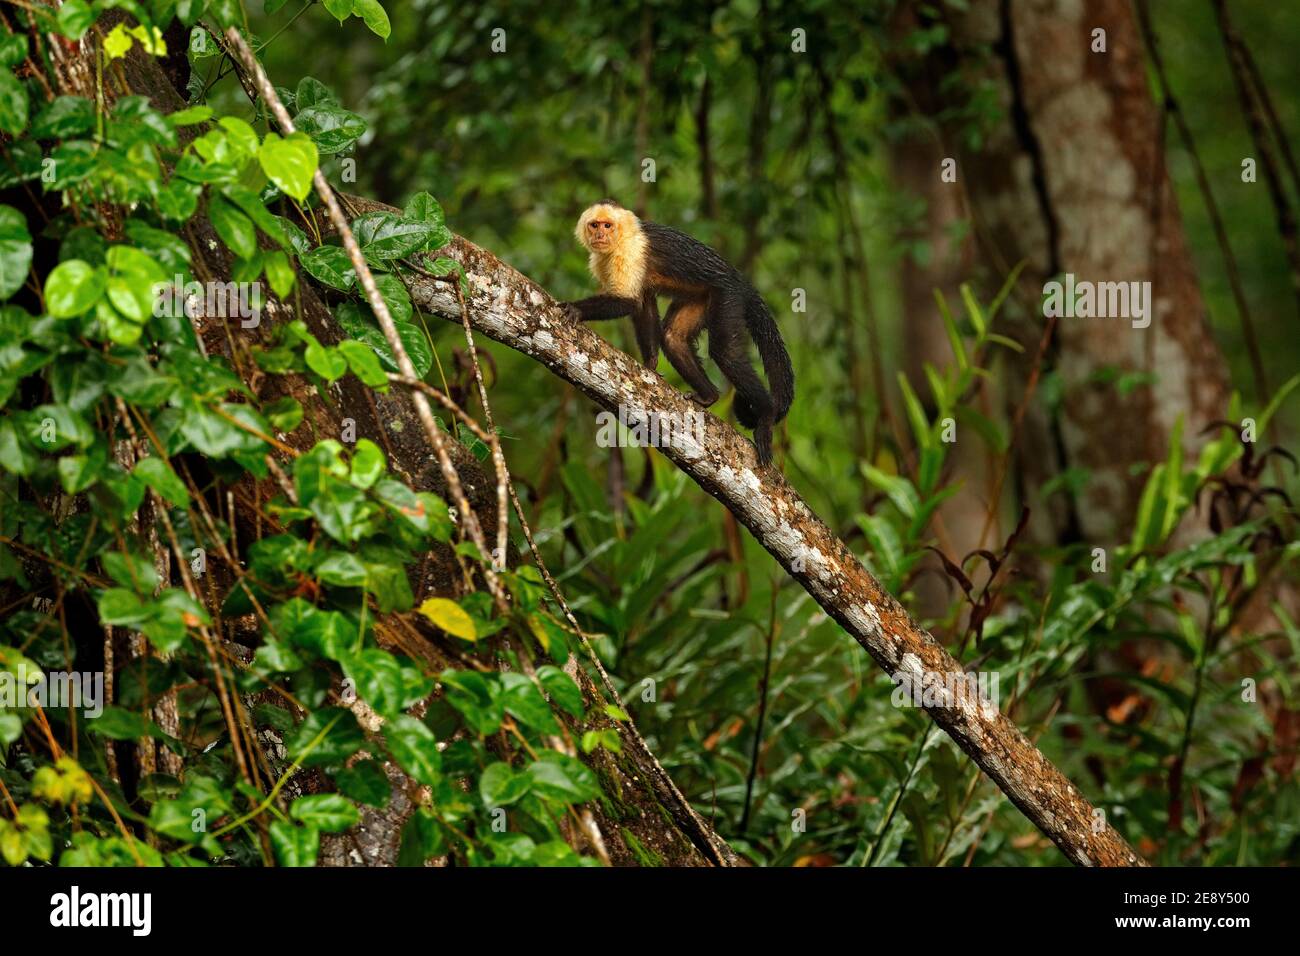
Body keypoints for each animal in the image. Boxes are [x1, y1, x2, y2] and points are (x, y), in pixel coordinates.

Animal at [561, 200, 794, 465]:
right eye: (594, 225)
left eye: (607, 225)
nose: (600, 235)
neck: (621, 239)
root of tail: (741, 280)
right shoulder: (603, 260)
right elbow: (642, 303)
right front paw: (650, 364)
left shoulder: (630, 251)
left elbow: (627, 301)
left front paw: (576, 309)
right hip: (702, 299)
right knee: (673, 337)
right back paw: (708, 396)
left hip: (728, 296)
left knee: (725, 353)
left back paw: (765, 415)